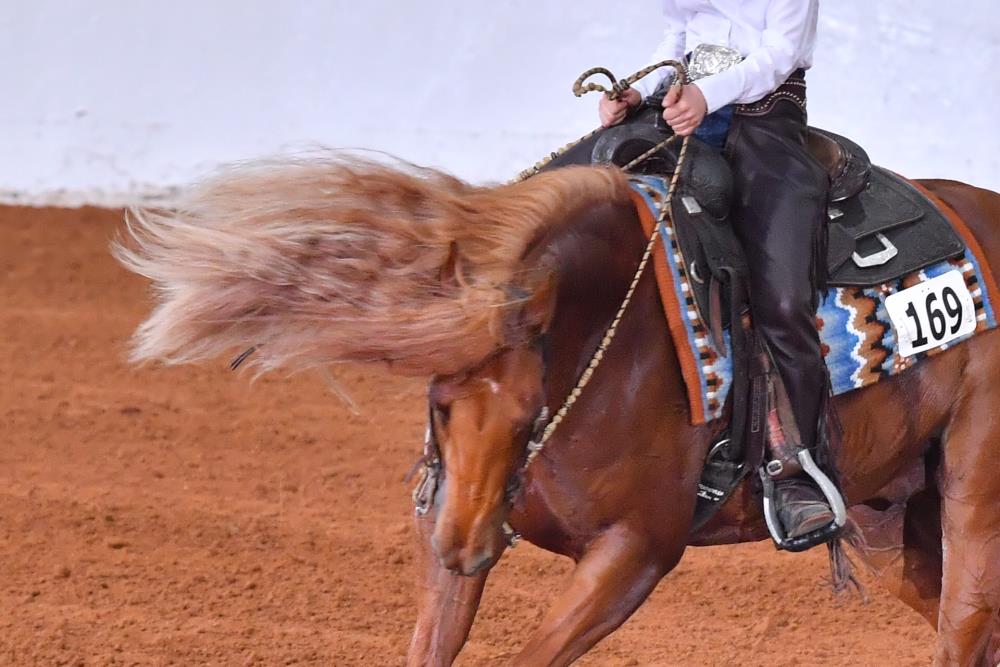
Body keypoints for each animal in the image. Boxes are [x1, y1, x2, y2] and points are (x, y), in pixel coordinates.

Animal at [114, 153, 1000, 666]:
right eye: (439, 405)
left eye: (528, 412)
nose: (466, 544)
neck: (618, 333)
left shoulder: (635, 554)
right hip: (889, 517)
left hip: (972, 490)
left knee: (964, 621)